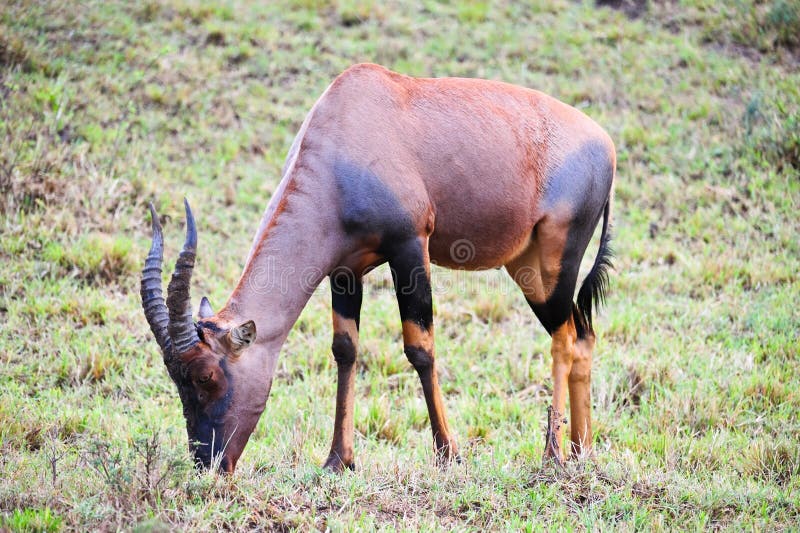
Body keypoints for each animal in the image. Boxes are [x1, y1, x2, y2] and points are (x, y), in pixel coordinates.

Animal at [141, 63, 614, 473]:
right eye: (177, 380)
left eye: (207, 376)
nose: (209, 464)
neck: (347, 127)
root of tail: (605, 143)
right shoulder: (344, 271)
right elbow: (345, 350)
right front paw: (338, 460)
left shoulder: (410, 248)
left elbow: (419, 347)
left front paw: (448, 454)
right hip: (527, 269)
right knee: (582, 334)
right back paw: (581, 450)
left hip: (555, 261)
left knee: (564, 338)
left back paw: (553, 455)